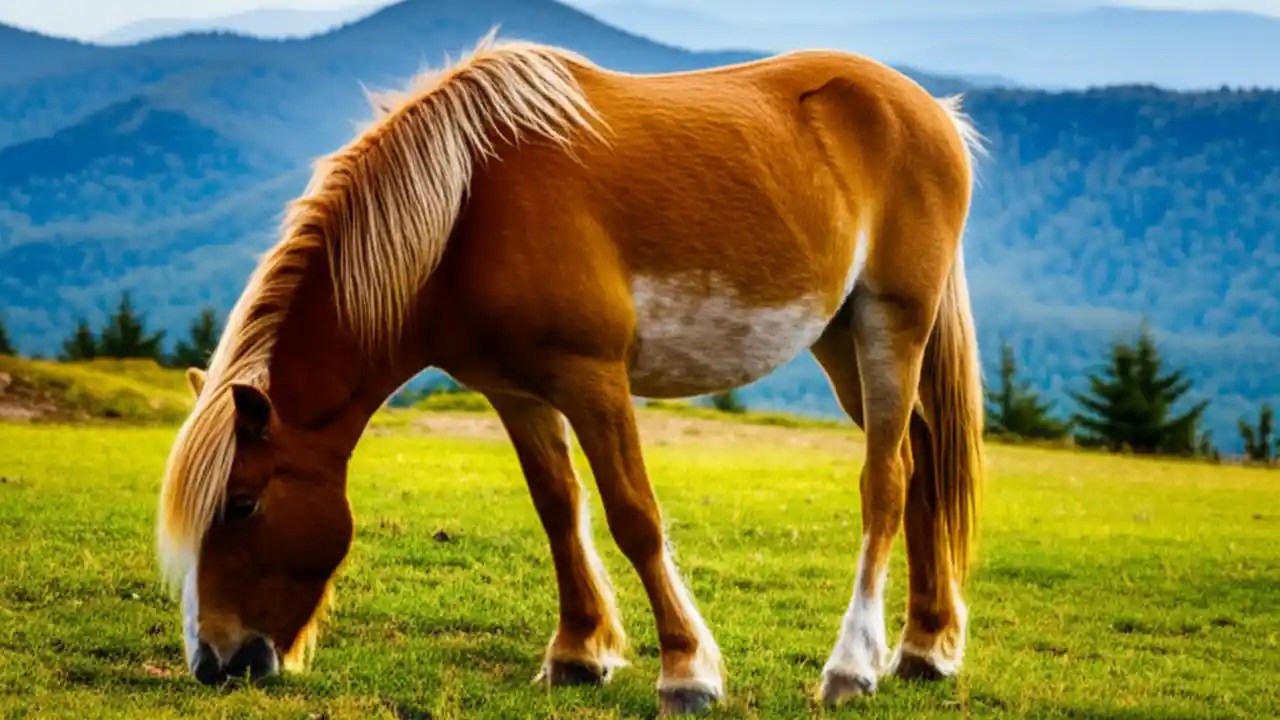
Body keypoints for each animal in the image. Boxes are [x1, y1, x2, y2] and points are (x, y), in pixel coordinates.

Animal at [158, 32, 984, 715]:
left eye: (240, 505)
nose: (215, 661)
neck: (465, 212)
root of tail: (932, 114)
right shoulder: (516, 391)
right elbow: (558, 508)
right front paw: (579, 653)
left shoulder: (594, 382)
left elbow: (634, 516)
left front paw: (686, 672)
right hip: (840, 340)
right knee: (920, 459)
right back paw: (924, 648)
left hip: (891, 322)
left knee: (886, 478)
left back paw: (852, 667)